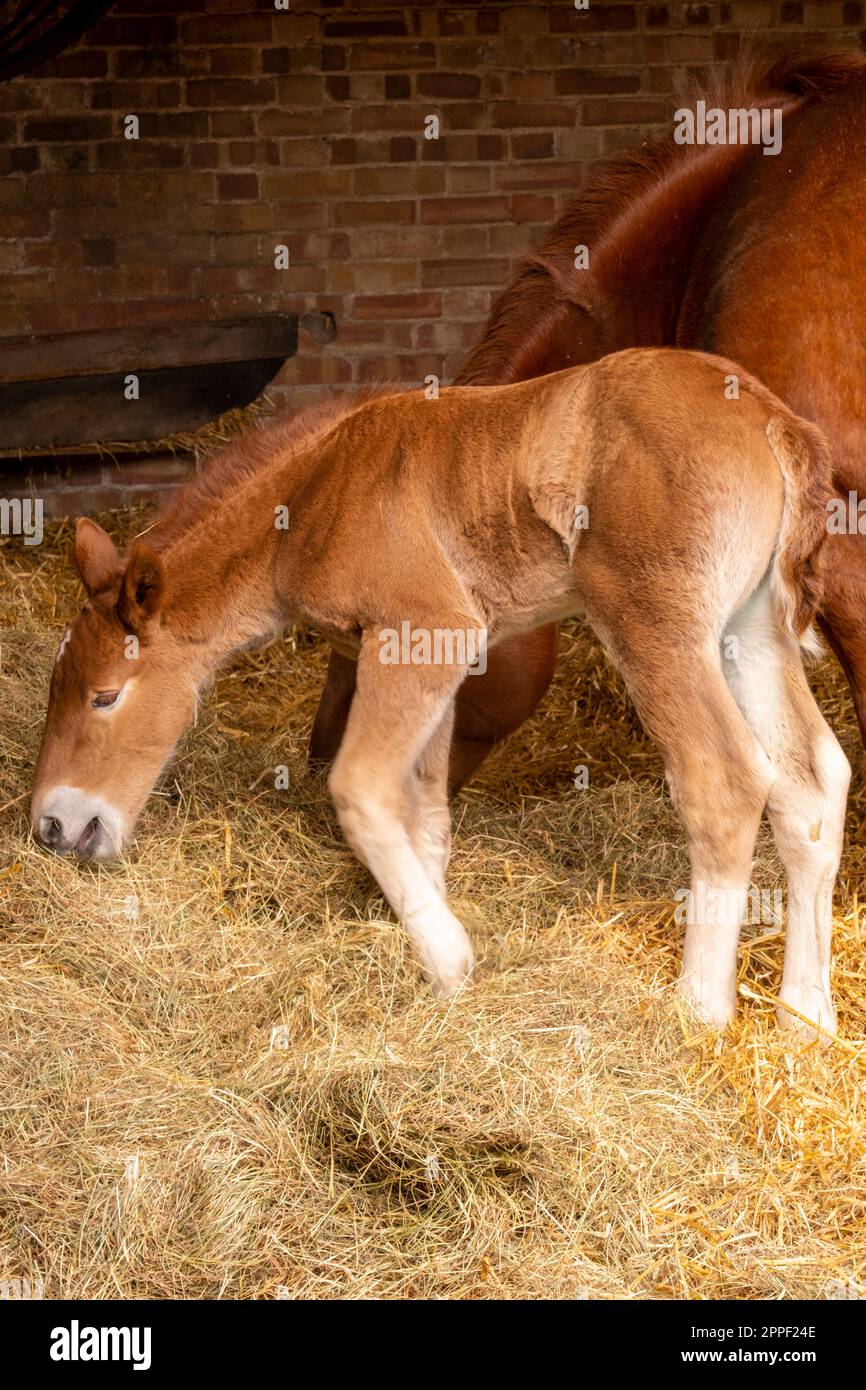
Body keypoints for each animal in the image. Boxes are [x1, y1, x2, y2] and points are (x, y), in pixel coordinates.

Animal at [31, 347, 849, 1035]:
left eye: (105, 696)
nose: (53, 828)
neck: (314, 493)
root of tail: (770, 417)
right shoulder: (432, 658)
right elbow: (423, 811)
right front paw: (430, 959)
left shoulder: (421, 629)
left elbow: (361, 789)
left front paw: (451, 958)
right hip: (750, 628)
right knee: (812, 782)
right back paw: (806, 1017)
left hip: (656, 623)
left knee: (726, 780)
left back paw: (698, 1010)